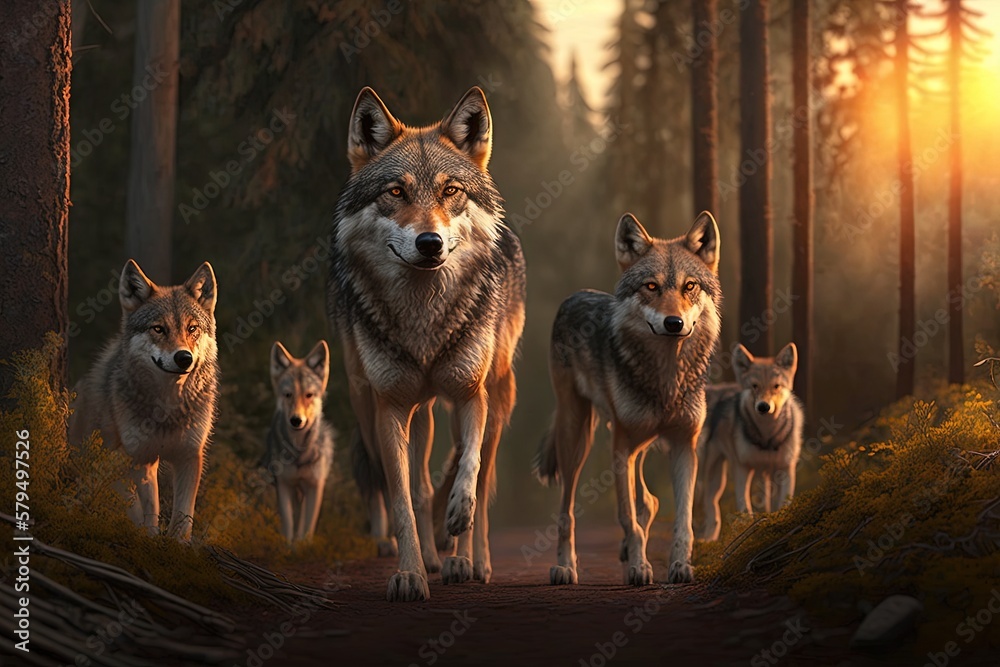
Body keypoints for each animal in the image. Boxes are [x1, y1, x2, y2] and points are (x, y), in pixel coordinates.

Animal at [69, 260, 219, 542]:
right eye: (158, 329)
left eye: (192, 329)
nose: (184, 358)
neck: (169, 408)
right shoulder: (134, 457)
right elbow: (143, 509)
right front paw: (145, 538)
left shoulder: (189, 456)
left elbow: (183, 517)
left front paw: (176, 546)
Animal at [264, 341, 335, 544]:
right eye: (288, 394)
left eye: (309, 395)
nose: (296, 420)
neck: (299, 453)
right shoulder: (284, 485)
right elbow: (288, 524)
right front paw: (287, 547)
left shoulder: (315, 487)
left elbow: (308, 527)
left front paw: (304, 546)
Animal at [327, 86, 526, 601]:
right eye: (395, 192)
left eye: (450, 191)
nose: (430, 242)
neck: (425, 321)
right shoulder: (390, 408)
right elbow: (401, 497)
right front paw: (411, 573)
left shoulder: (470, 396)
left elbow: (468, 469)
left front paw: (457, 528)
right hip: (388, 405)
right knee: (416, 483)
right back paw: (436, 558)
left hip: (494, 395)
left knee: (479, 475)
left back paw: (470, 561)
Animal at [535, 211, 722, 586]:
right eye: (650, 286)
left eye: (690, 286)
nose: (674, 322)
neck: (667, 380)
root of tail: (576, 295)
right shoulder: (620, 446)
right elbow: (627, 517)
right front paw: (638, 568)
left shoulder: (684, 444)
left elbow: (682, 520)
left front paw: (679, 566)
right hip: (579, 436)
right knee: (567, 511)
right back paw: (565, 567)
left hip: (634, 443)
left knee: (648, 501)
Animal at [697, 342, 803, 541]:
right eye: (754, 386)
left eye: (776, 386)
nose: (763, 407)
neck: (767, 436)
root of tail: (721, 390)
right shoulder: (743, 468)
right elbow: (745, 507)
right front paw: (747, 531)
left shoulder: (786, 468)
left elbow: (783, 503)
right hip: (716, 475)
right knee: (711, 506)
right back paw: (709, 539)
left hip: (764, 473)